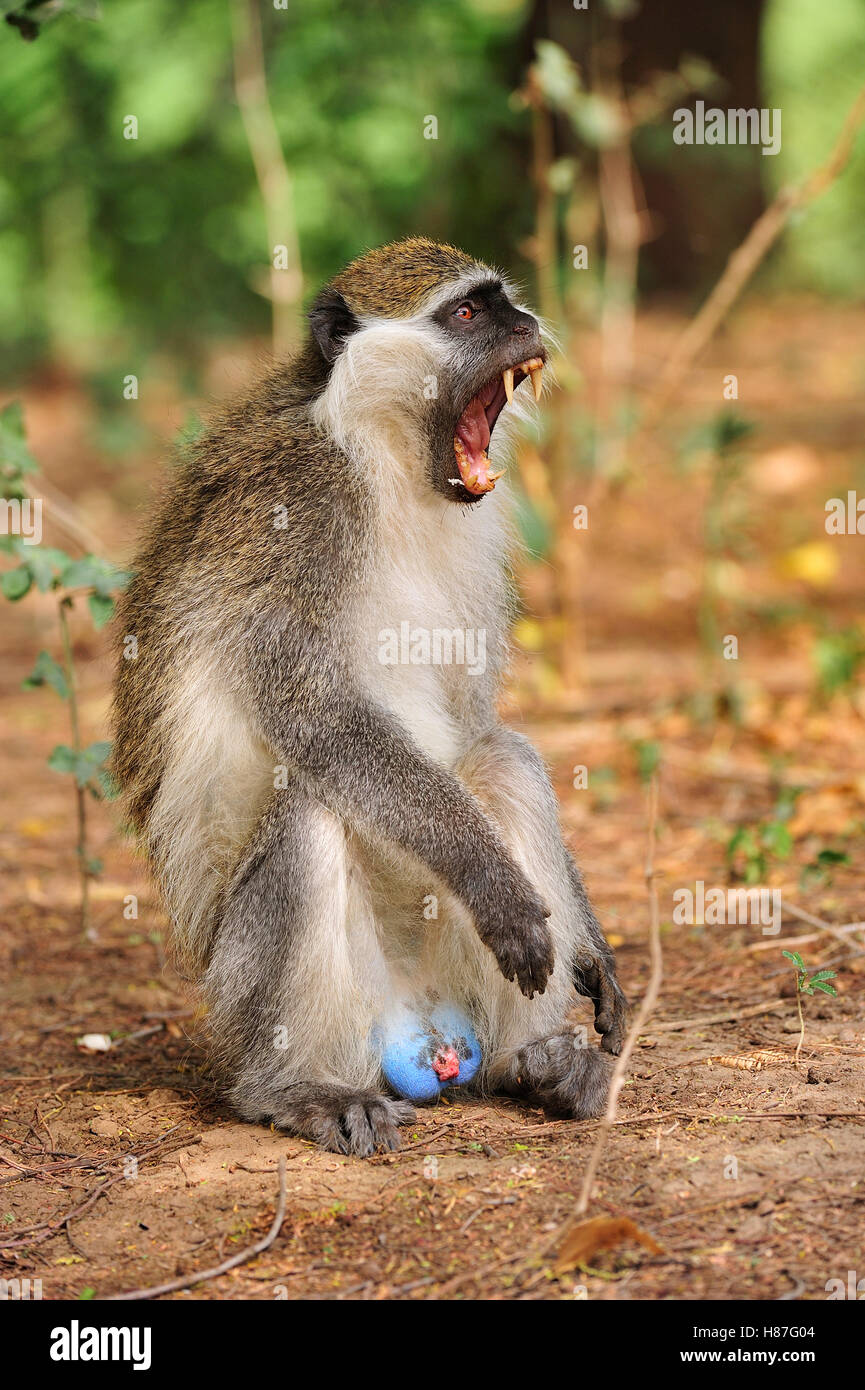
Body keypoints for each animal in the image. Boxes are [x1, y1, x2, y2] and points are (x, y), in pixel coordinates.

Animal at [112, 237, 628, 1156]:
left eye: (506, 304)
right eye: (469, 313)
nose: (528, 325)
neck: (379, 459)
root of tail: (424, 1027)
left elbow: (472, 720)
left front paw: (590, 952)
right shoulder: (293, 508)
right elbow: (316, 715)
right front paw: (490, 880)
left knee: (502, 760)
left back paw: (538, 1063)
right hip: (247, 991)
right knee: (310, 814)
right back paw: (301, 1090)